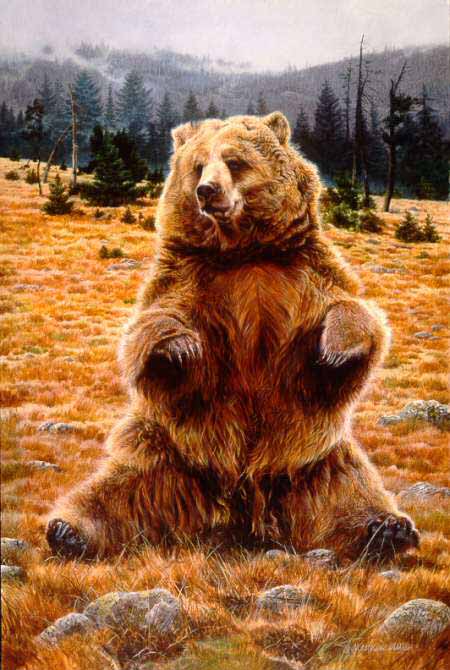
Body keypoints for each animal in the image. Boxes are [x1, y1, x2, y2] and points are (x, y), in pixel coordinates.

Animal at [46, 112, 419, 561]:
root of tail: (242, 501)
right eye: (197, 165)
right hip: (166, 449)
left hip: (314, 460)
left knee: (348, 494)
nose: (207, 191)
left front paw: (335, 346)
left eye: (235, 161)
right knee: (121, 491)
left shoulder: (304, 273)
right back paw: (68, 530)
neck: (243, 251)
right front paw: (180, 345)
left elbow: (353, 313)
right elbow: (149, 325)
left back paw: (388, 529)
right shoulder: (190, 277)